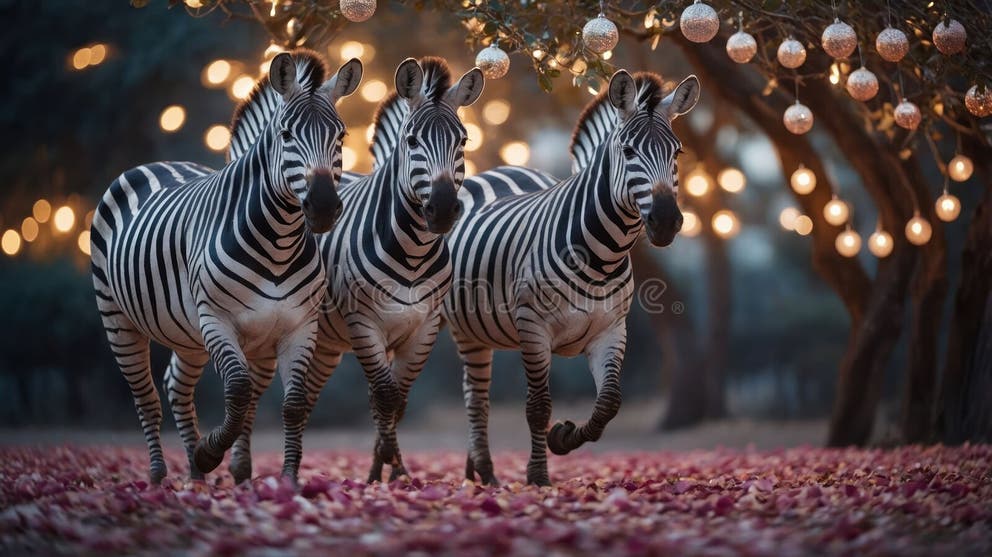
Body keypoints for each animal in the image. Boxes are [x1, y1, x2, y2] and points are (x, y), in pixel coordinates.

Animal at [90, 50, 362, 485]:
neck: (279, 242)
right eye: (286, 135)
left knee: (176, 386)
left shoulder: (299, 326)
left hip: (186, 334)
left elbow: (293, 403)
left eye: (341, 137)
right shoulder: (217, 320)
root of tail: (154, 164)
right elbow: (238, 390)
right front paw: (208, 453)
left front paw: (288, 478)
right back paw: (159, 475)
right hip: (118, 319)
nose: (322, 207)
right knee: (146, 397)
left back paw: (195, 477)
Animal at [442, 70, 699, 486]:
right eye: (628, 151)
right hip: (465, 330)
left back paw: (476, 470)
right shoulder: (534, 329)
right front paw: (538, 475)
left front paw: (563, 437)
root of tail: (503, 170)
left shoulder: (611, 331)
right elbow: (538, 407)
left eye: (676, 153)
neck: (602, 257)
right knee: (475, 398)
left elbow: (610, 402)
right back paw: (484, 472)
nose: (665, 221)